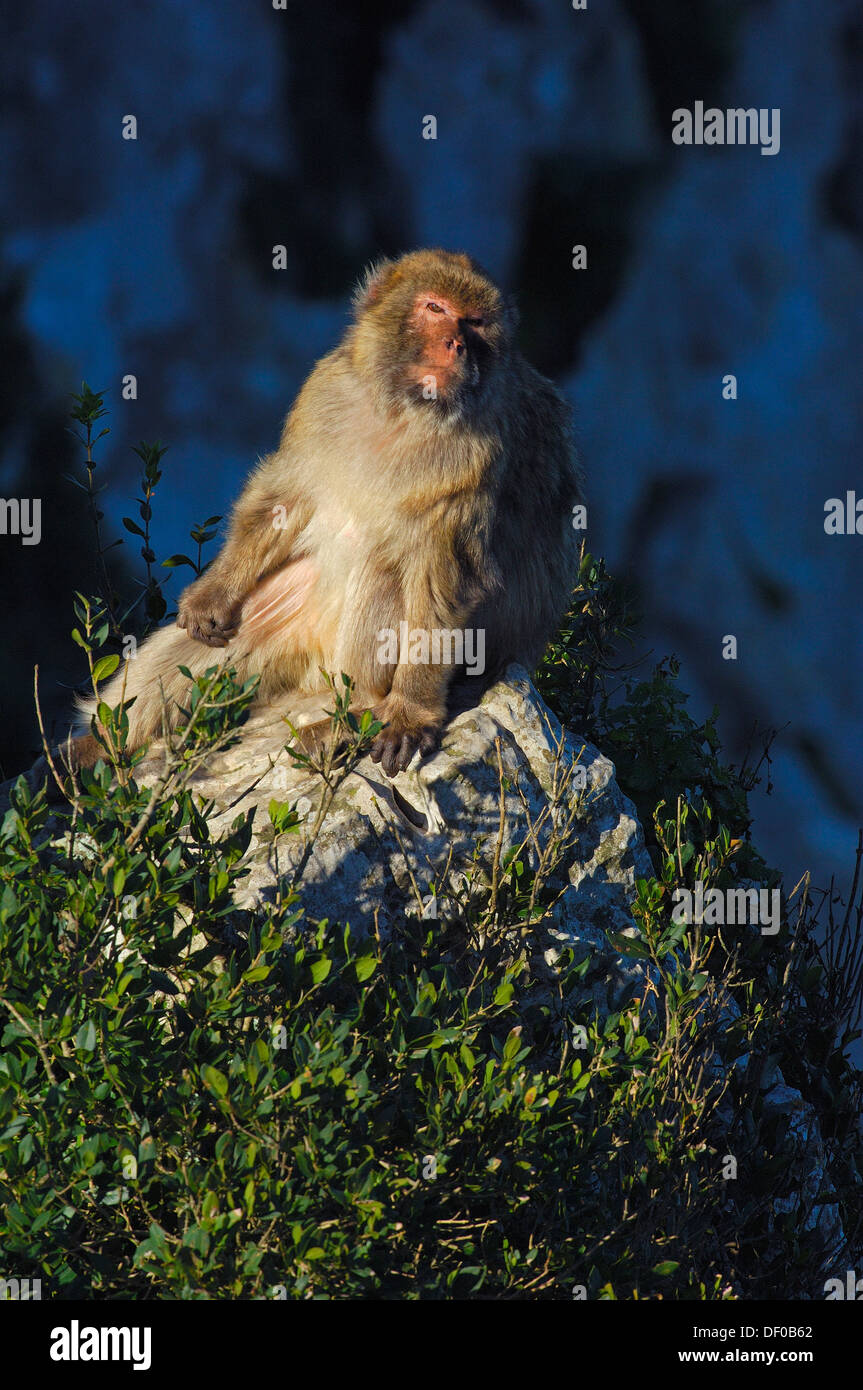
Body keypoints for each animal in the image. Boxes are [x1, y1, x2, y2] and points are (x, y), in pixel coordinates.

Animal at [66, 248, 583, 783]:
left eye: (476, 322)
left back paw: (359, 714)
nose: (456, 343)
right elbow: (289, 496)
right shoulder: (326, 393)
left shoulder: (474, 456)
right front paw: (214, 591)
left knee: (389, 568)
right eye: (435, 307)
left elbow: (445, 578)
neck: (401, 411)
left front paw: (411, 713)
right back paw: (102, 743)